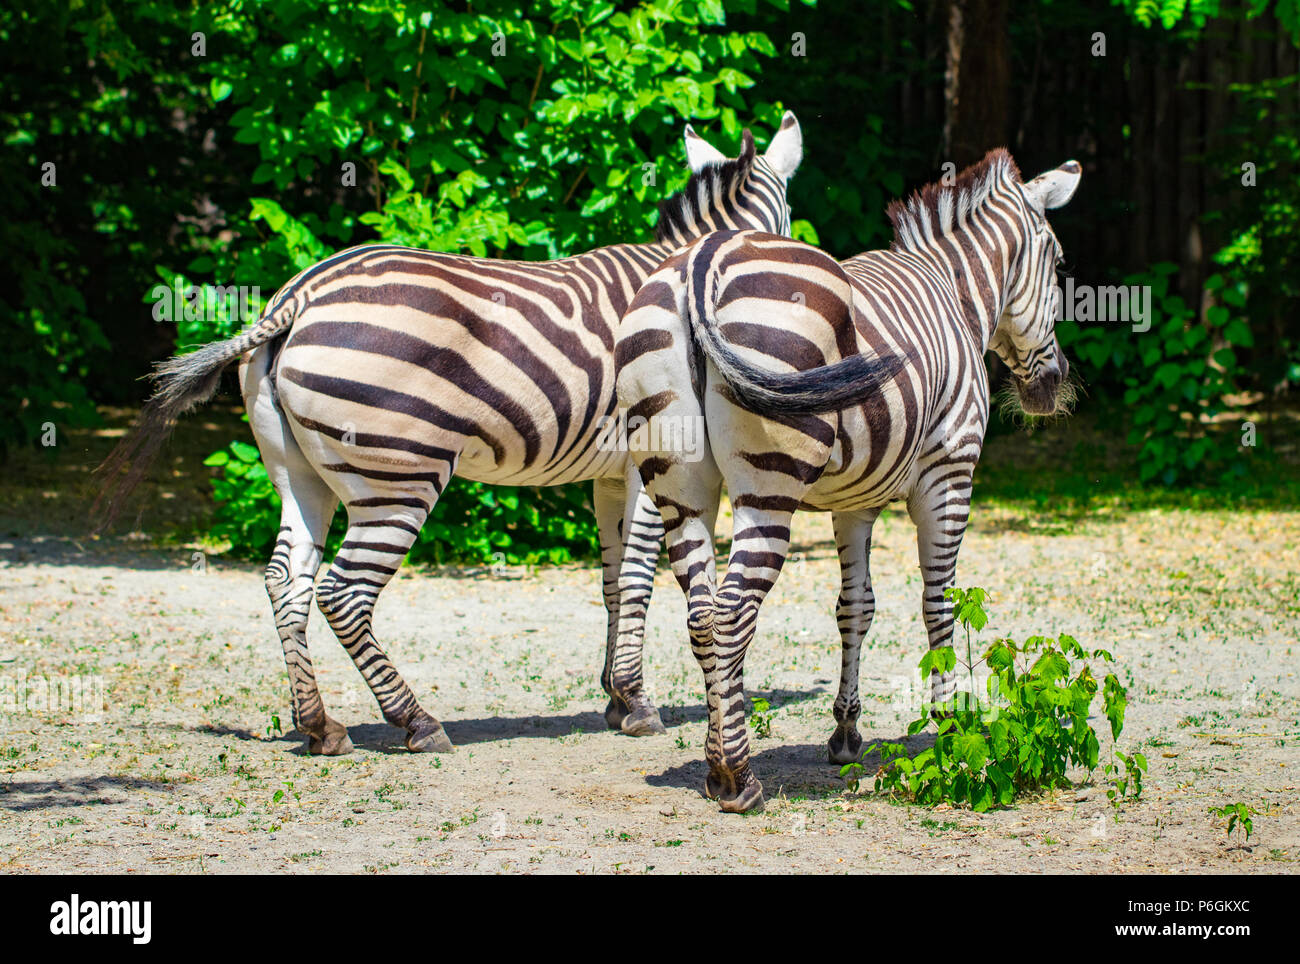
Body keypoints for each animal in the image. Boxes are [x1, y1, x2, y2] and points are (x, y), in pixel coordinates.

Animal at [94, 115, 805, 757]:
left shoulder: (606, 475)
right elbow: (635, 580)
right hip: (398, 477)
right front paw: (635, 703)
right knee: (342, 593)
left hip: (300, 474)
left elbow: (608, 581)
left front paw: (614, 697)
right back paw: (416, 722)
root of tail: (297, 298)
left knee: (286, 582)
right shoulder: (647, 463)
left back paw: (320, 727)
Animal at [614, 149, 1081, 811]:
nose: (1053, 384)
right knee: (731, 612)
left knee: (703, 615)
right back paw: (738, 777)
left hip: (680, 490)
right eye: (1059, 261)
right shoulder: (949, 473)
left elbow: (854, 607)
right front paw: (952, 728)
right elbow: (939, 604)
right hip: (767, 487)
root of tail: (702, 261)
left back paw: (714, 766)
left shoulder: (854, 501)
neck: (955, 291)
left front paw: (846, 733)